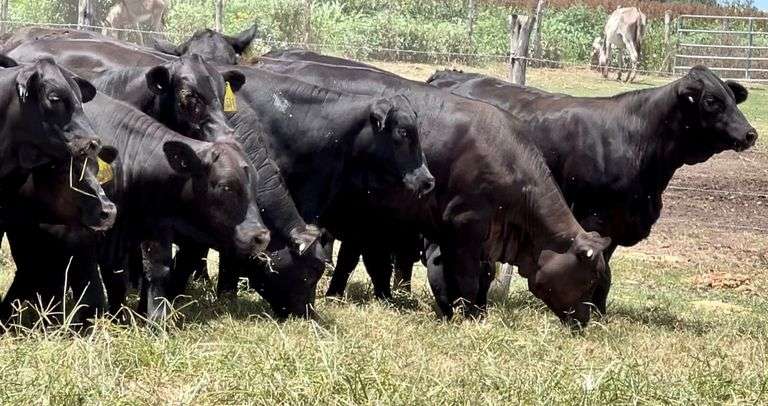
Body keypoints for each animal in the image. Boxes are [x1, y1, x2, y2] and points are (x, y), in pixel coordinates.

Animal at [250, 61, 614, 327]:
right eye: (592, 281)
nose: (587, 322)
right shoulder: (466, 226)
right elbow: (466, 279)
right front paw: (468, 316)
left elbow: (479, 276)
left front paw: (472, 312)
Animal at [426, 67, 757, 313]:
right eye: (711, 101)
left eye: (733, 98)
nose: (750, 134)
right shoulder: (595, 217)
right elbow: (603, 271)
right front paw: (593, 310)